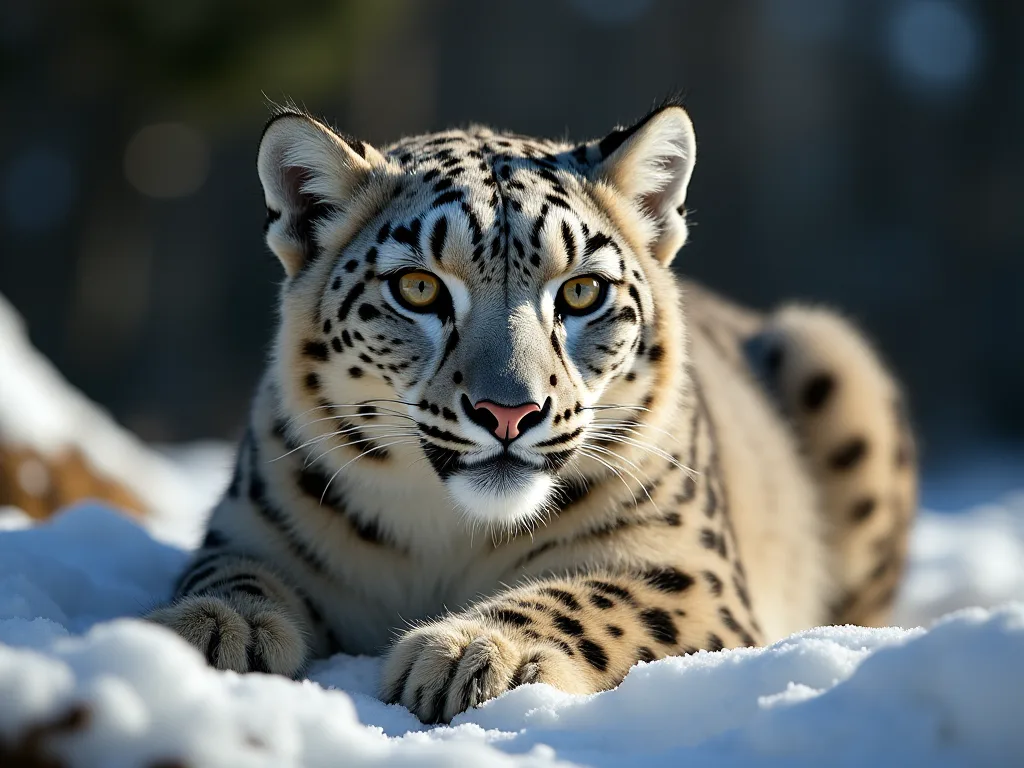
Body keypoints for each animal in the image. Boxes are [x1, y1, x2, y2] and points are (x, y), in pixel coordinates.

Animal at [148, 100, 918, 724]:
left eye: (581, 292)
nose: (509, 411)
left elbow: (592, 597)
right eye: (418, 287)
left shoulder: (689, 572)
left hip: (830, 351)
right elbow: (228, 572)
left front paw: (474, 652)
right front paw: (213, 630)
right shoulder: (250, 526)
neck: (446, 537)